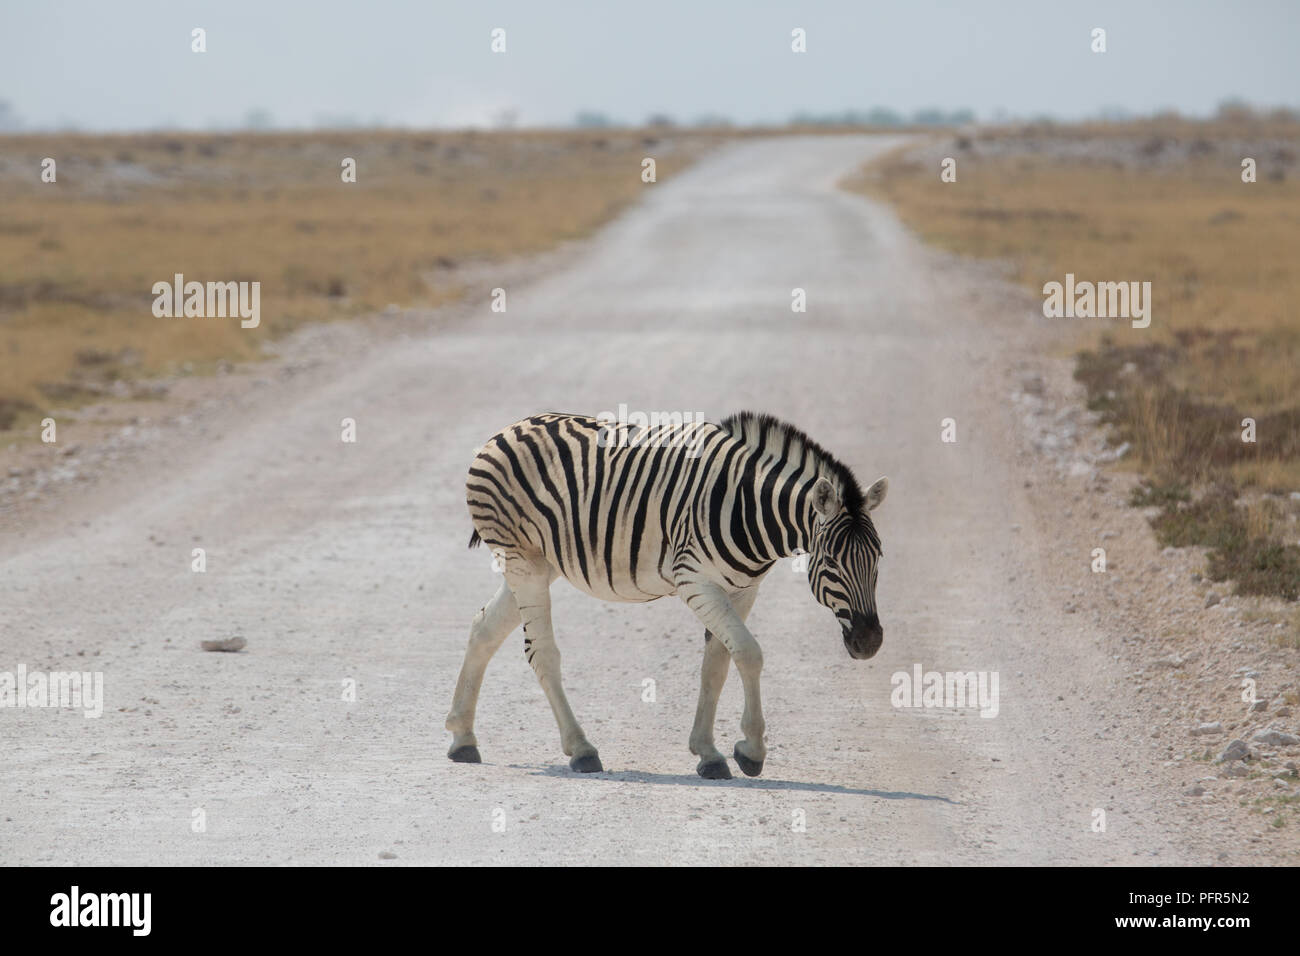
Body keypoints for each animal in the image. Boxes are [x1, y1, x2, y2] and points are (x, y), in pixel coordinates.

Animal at [445, 411, 888, 779]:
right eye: (831, 561)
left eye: (879, 558)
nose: (869, 643)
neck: (748, 508)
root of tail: (505, 431)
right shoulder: (695, 580)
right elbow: (749, 653)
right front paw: (751, 750)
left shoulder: (743, 589)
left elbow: (717, 664)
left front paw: (708, 753)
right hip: (525, 562)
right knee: (542, 652)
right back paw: (582, 749)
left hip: (537, 563)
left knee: (482, 629)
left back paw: (462, 738)